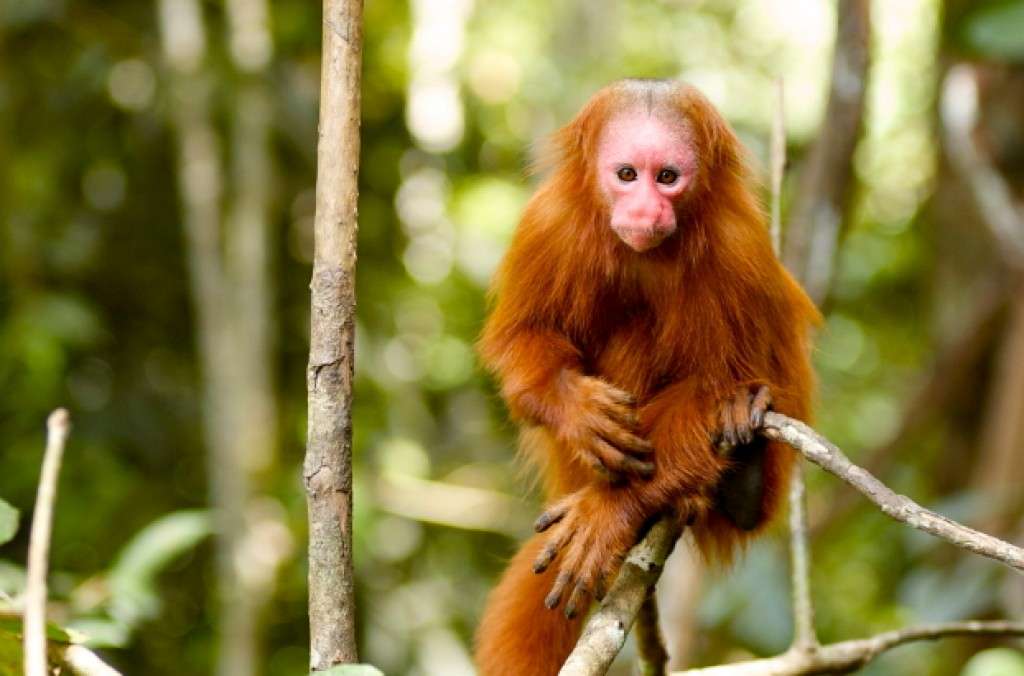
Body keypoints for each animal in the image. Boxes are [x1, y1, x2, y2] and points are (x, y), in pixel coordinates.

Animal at [474, 79, 819, 676]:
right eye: (628, 174)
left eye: (668, 177)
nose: (645, 208)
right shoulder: (547, 224)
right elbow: (521, 340)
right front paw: (577, 410)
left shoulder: (738, 248)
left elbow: (711, 387)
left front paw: (609, 511)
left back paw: (740, 483)